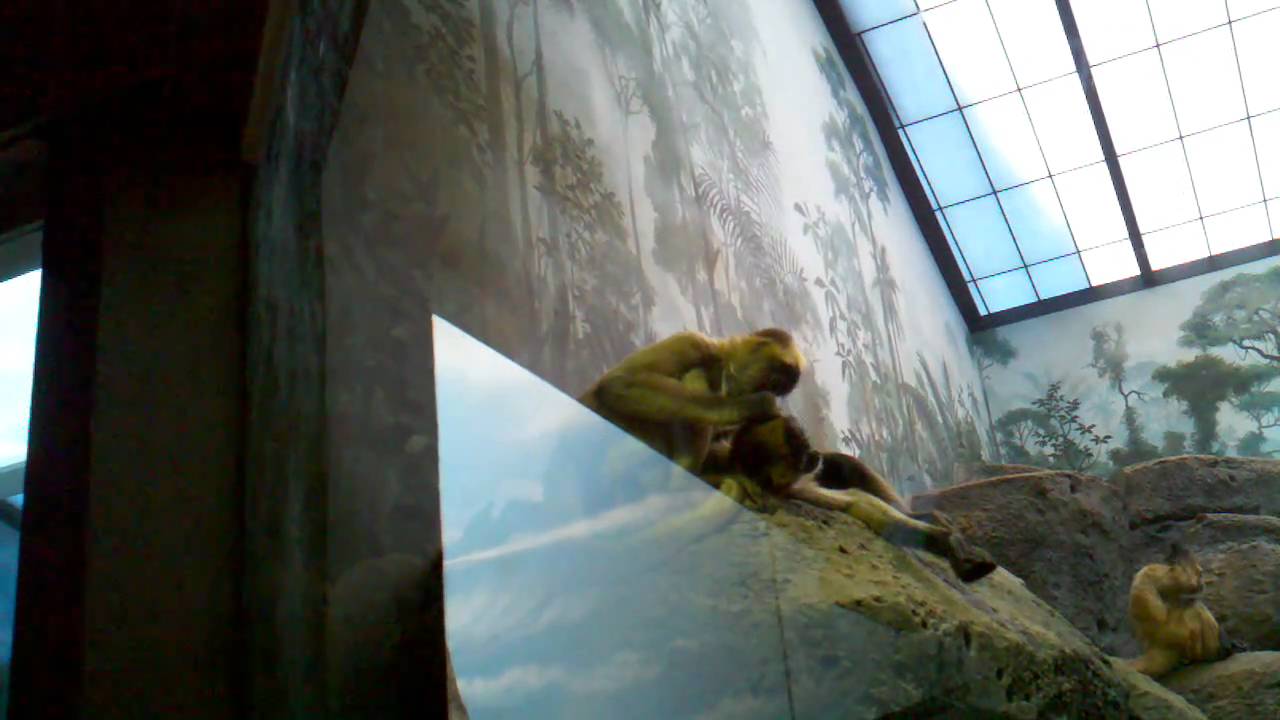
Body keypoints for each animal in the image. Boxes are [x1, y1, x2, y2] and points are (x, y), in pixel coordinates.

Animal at [579, 328, 806, 475]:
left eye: (777, 389)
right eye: (771, 384)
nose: (767, 393)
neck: (719, 364)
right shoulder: (694, 342)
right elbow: (620, 381)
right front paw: (756, 405)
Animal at [1126, 543, 1243, 678]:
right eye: (1200, 575)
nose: (1202, 581)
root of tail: (1155, 645)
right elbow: (1188, 584)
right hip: (1174, 634)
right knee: (1194, 607)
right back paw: (1219, 653)